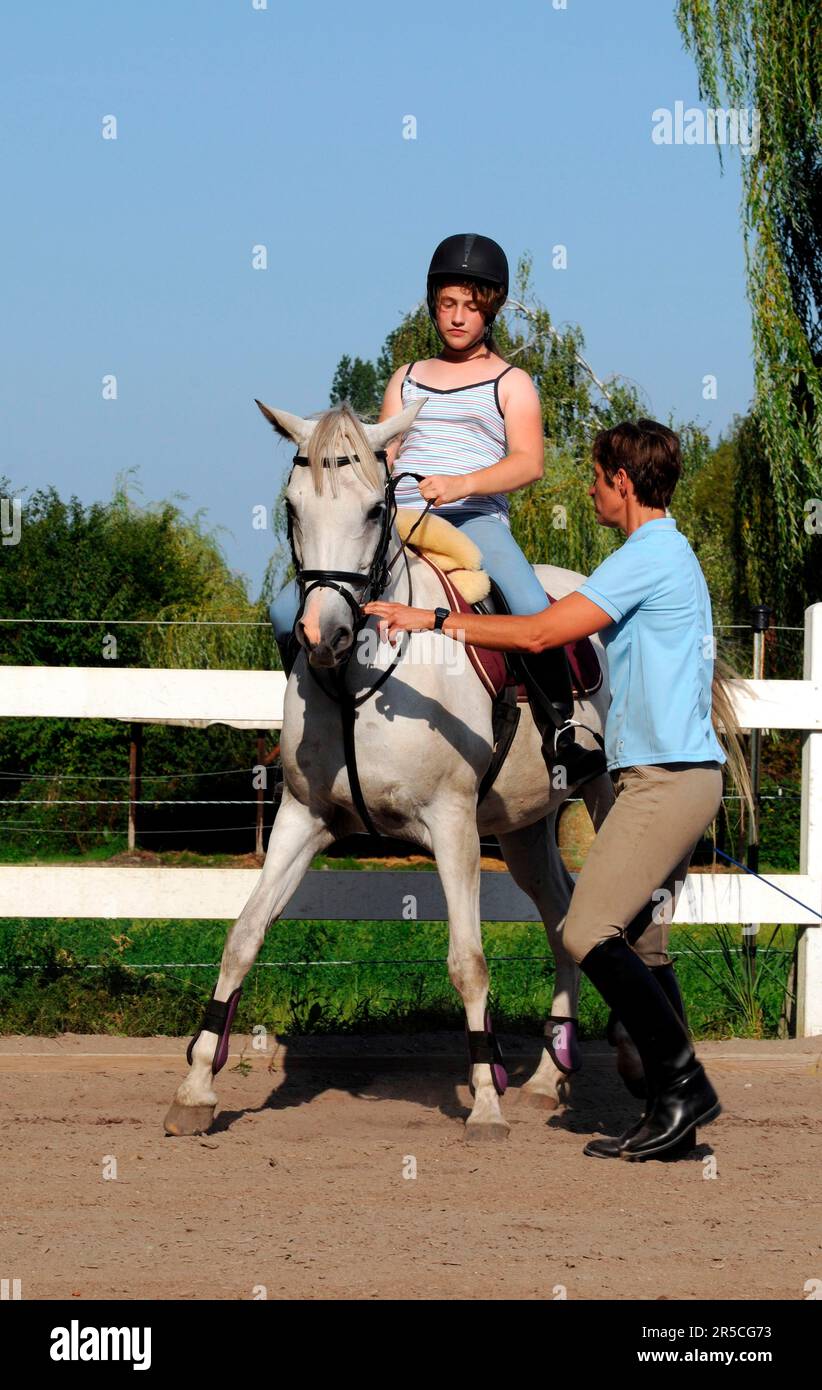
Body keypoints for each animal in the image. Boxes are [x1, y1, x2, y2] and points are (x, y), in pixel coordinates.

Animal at [163, 398, 615, 1142]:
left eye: (377, 508)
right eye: (291, 506)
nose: (324, 634)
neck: (362, 674)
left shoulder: (453, 825)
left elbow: (468, 962)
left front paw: (484, 1103)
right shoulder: (303, 817)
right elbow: (244, 935)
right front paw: (197, 1089)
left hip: (610, 792)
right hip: (525, 826)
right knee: (563, 918)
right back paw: (549, 1078)